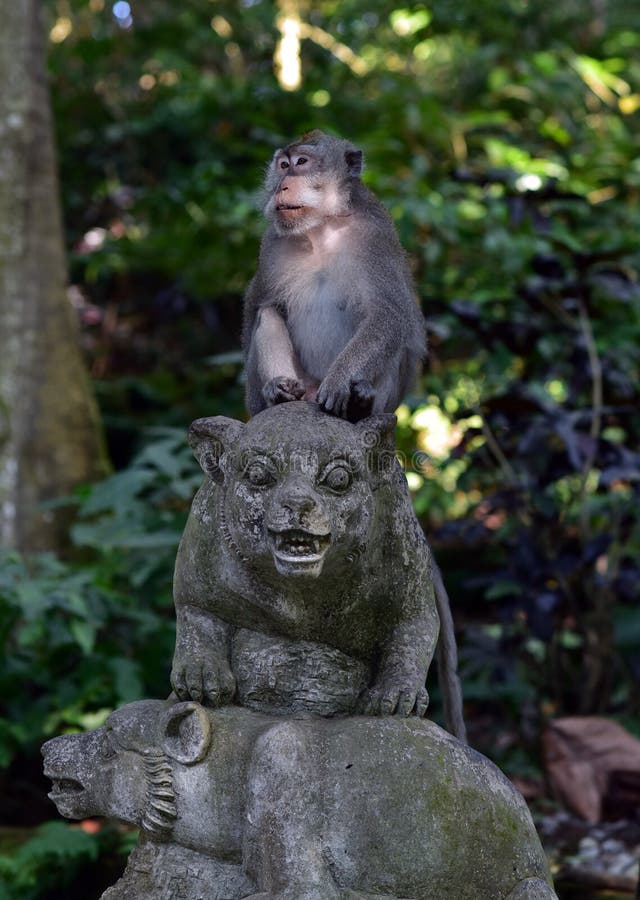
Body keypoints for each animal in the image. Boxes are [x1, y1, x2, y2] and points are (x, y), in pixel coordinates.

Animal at [242, 130, 426, 423]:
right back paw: (280, 392)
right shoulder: (270, 245)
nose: (282, 186)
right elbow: (255, 304)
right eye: (283, 165)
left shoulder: (376, 236)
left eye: (301, 162)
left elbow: (388, 315)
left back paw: (360, 404)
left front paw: (339, 381)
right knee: (268, 313)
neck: (321, 227)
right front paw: (261, 398)